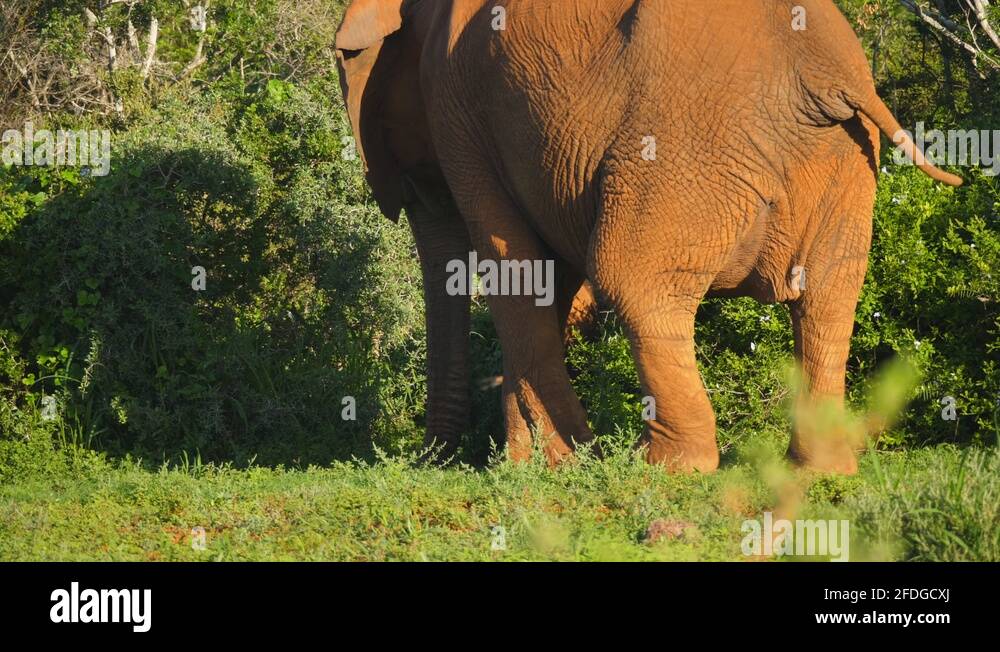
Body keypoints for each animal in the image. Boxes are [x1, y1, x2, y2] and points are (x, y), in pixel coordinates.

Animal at [335, 0, 961, 474]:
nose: (430, 458)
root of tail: (833, 69)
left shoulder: (456, 106)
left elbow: (519, 270)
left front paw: (563, 463)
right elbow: (548, 279)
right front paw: (529, 465)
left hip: (687, 148)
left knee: (630, 278)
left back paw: (660, 465)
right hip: (845, 161)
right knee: (829, 299)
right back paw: (821, 470)